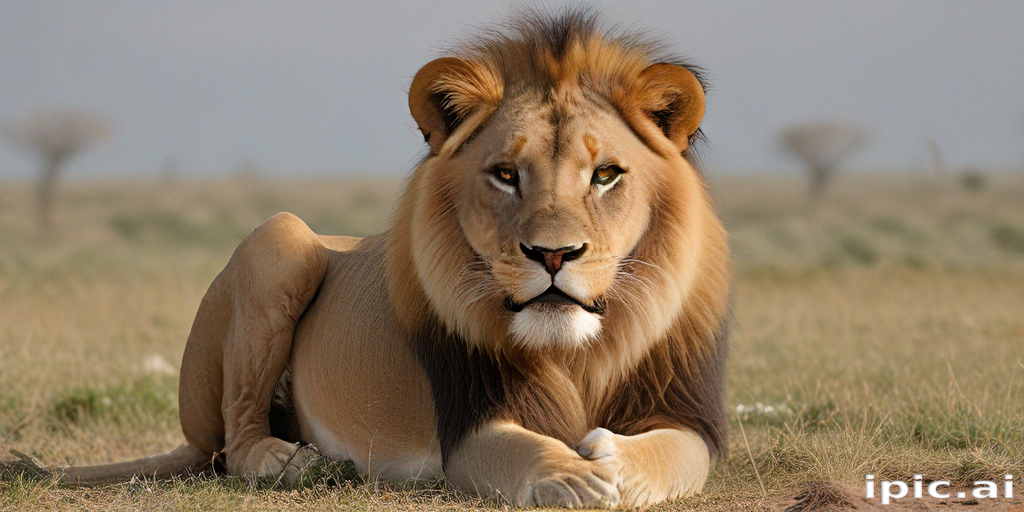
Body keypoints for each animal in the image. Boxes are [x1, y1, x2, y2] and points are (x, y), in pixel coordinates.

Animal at [38, 9, 731, 509]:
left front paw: (613, 463)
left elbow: (671, 454)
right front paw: (580, 478)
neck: (575, 351)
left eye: (607, 174)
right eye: (506, 174)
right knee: (233, 445)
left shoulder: (689, 415)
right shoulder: (470, 425)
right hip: (280, 240)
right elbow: (527, 453)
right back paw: (290, 461)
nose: (553, 254)